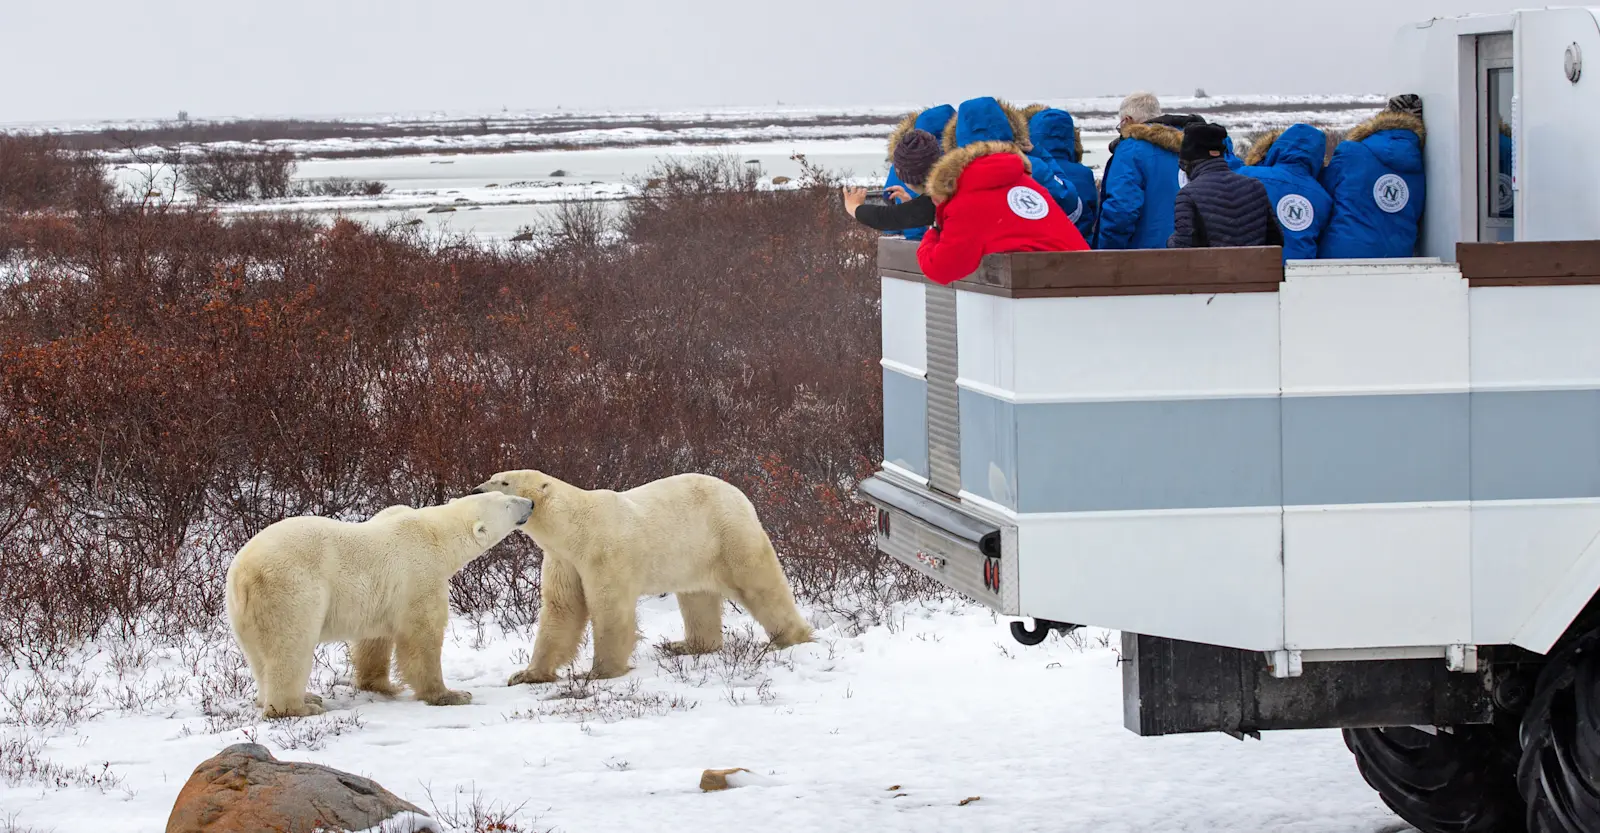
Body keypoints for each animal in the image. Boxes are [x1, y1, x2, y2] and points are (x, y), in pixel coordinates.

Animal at [224, 491, 534, 718]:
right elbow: (422, 637)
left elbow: (375, 638)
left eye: (505, 493)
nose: (530, 503)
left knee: (258, 658)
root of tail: (244, 573)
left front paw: (381, 685)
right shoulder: (420, 575)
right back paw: (300, 707)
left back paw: (293, 697)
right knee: (290, 648)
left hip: (243, 613)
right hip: (290, 591)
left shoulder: (382, 594)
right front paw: (451, 695)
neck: (435, 534)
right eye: (509, 504)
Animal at [471, 469, 813, 685]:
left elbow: (610, 609)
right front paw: (526, 674)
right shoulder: (564, 561)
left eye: (503, 481)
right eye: (491, 477)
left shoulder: (603, 553)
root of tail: (740, 494)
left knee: (759, 583)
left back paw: (792, 637)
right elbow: (562, 609)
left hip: (728, 534)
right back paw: (685, 645)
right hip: (693, 554)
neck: (574, 529)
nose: (475, 490)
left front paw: (598, 672)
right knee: (697, 597)